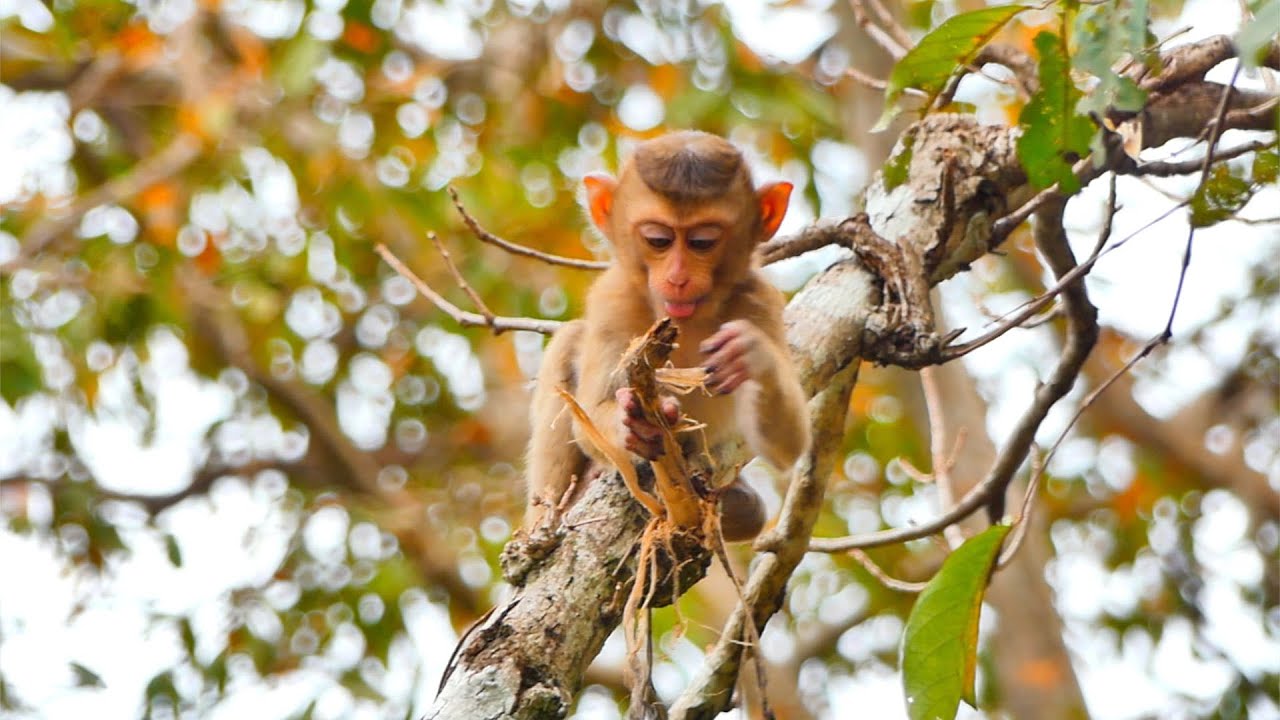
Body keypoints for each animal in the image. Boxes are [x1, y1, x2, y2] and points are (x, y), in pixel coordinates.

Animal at [524, 131, 811, 541]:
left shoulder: (760, 302)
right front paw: (636, 425)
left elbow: (790, 444)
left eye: (703, 242)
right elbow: (589, 415)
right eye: (657, 240)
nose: (678, 278)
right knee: (568, 341)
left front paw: (750, 355)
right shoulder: (613, 299)